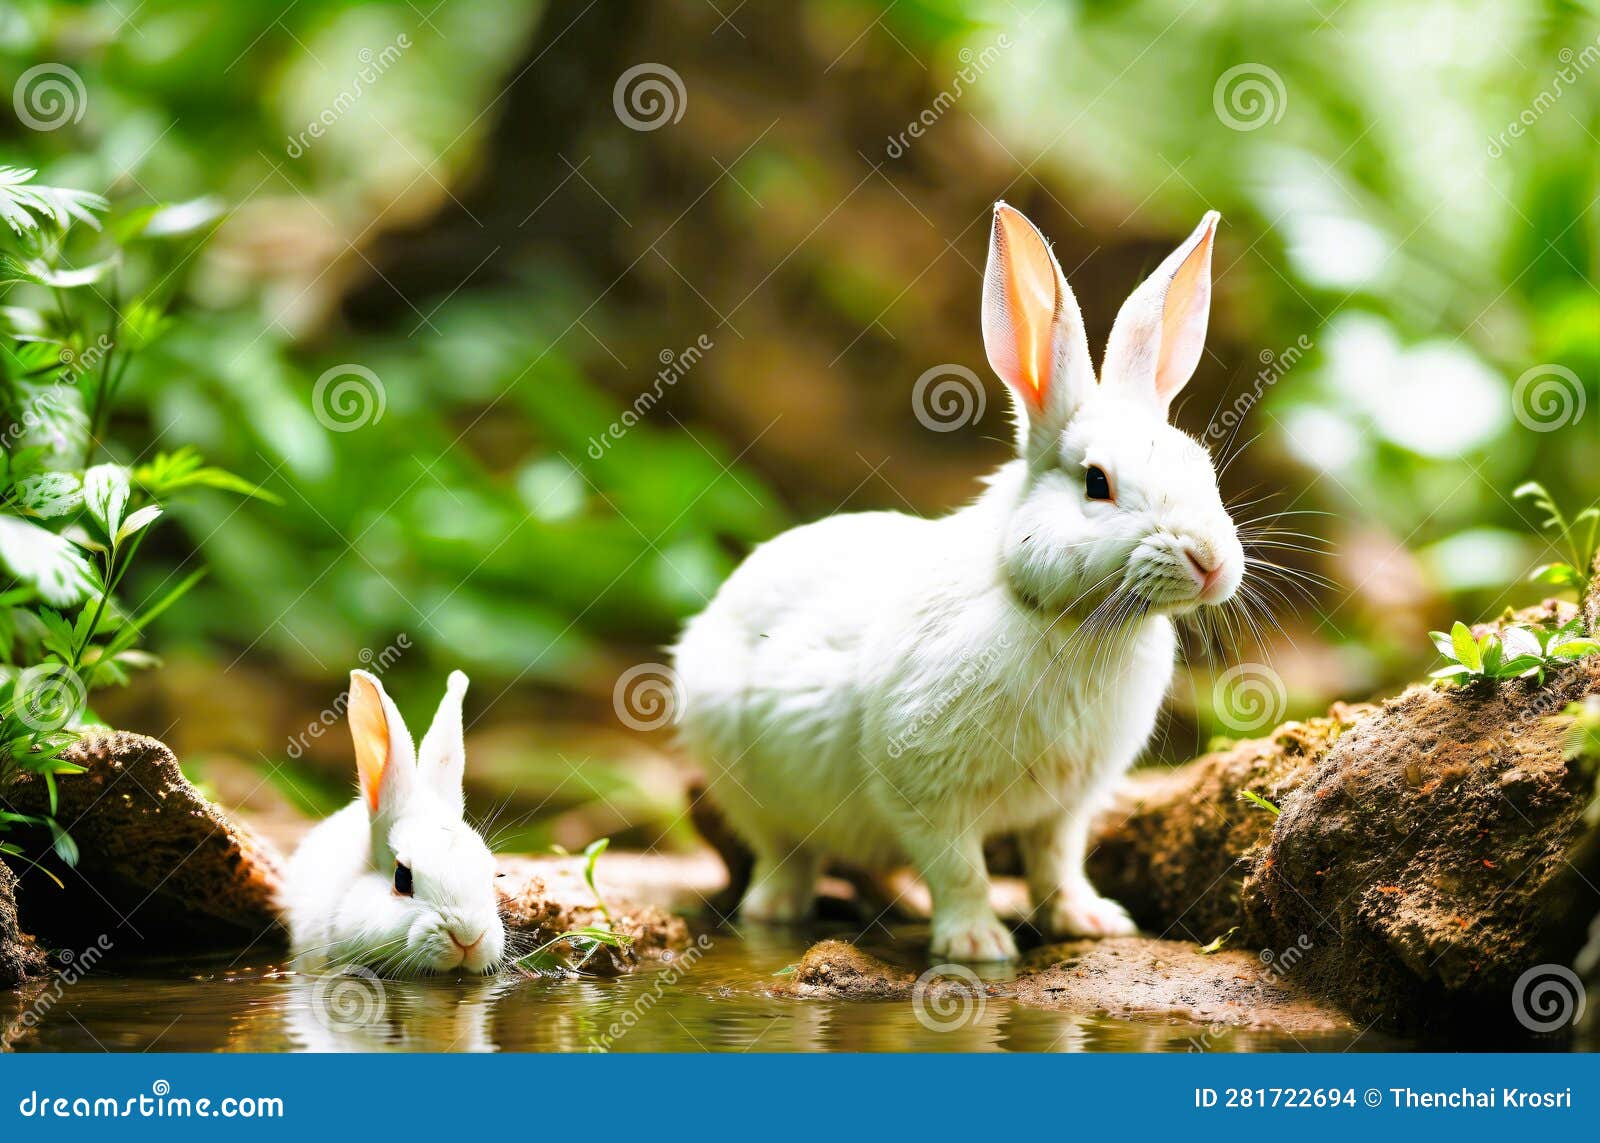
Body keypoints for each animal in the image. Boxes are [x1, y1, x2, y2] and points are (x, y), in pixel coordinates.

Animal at [673, 202, 1243, 962]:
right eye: (1097, 483)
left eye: (1201, 466)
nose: (1211, 561)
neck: (1063, 617)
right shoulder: (925, 791)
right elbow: (960, 867)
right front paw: (977, 946)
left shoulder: (1067, 807)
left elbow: (1056, 863)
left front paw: (1090, 922)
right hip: (748, 784)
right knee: (786, 857)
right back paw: (783, 911)